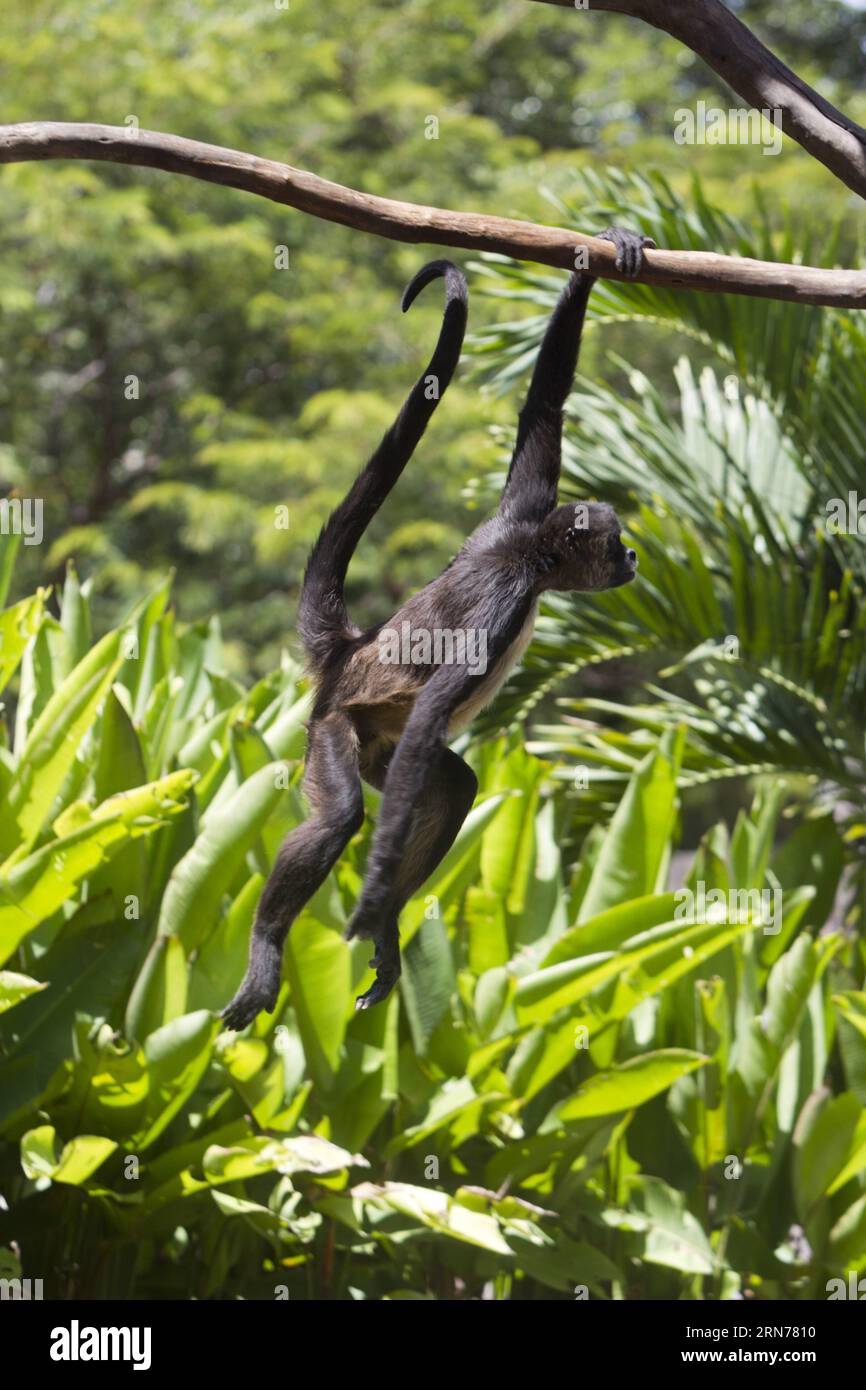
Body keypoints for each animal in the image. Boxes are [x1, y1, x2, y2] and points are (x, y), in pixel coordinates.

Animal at [221, 226, 653, 1029]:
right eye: (615, 544)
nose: (635, 557)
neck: (528, 556)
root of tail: (349, 649)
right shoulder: (503, 597)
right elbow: (432, 709)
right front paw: (369, 897)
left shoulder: (516, 510)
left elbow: (544, 405)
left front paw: (602, 254)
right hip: (335, 727)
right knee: (344, 815)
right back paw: (278, 943)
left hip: (378, 748)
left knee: (451, 783)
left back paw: (389, 929)